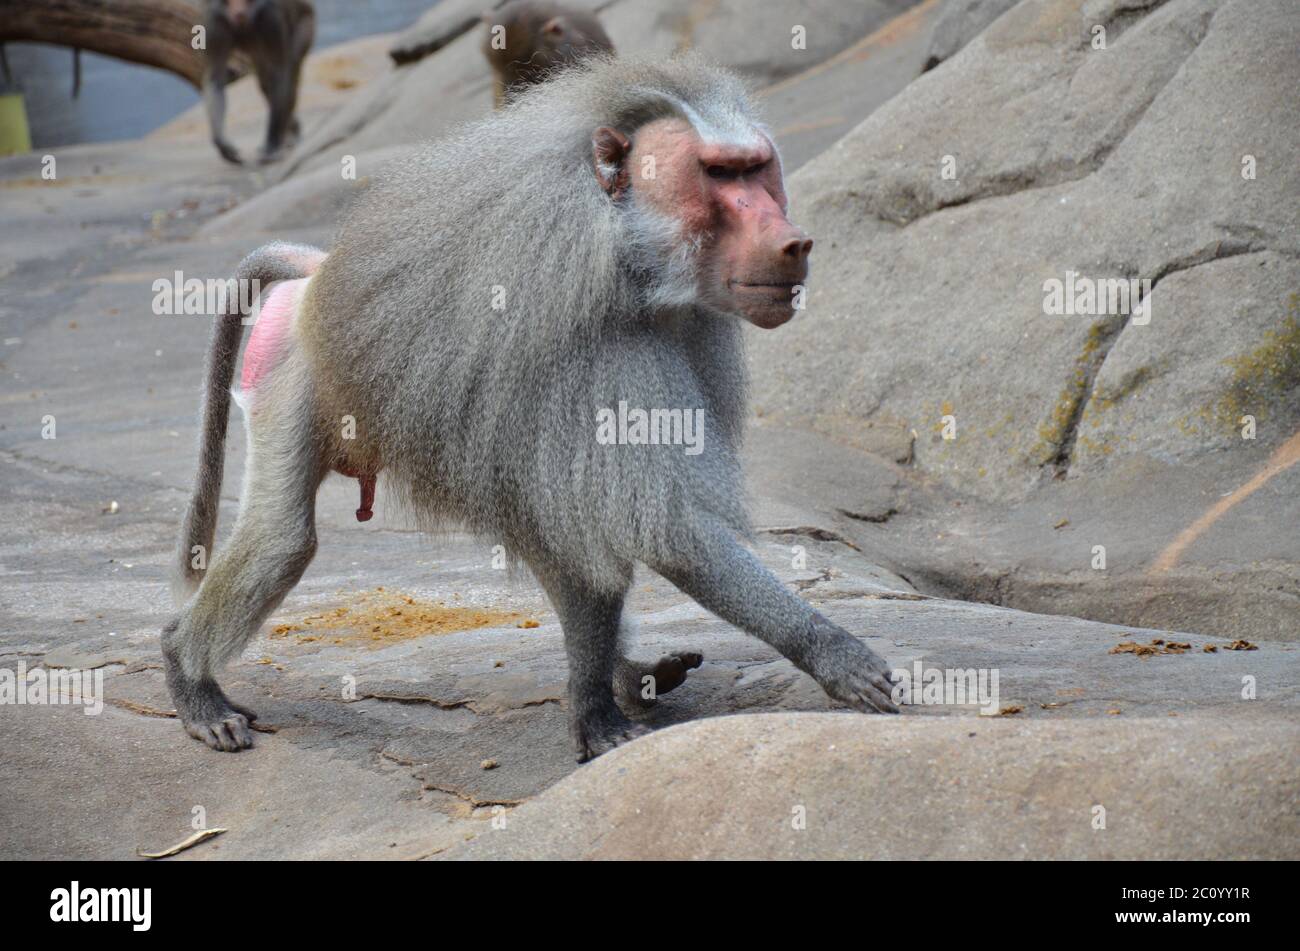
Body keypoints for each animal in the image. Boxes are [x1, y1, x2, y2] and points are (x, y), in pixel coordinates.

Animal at [163, 57, 897, 762]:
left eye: (754, 169)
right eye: (716, 174)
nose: (794, 242)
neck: (625, 252)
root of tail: (315, 277)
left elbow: (601, 534)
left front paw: (606, 691)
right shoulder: (594, 357)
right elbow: (670, 529)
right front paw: (831, 653)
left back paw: (631, 670)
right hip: (291, 375)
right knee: (282, 542)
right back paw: (189, 680)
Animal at [202, 0, 315, 165]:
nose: (238, 12)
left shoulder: (270, 20)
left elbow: (279, 73)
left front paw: (272, 146)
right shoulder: (216, 23)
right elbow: (215, 78)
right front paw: (222, 143)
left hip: (306, 22)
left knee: (290, 70)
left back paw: (287, 136)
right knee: (265, 83)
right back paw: (290, 132)